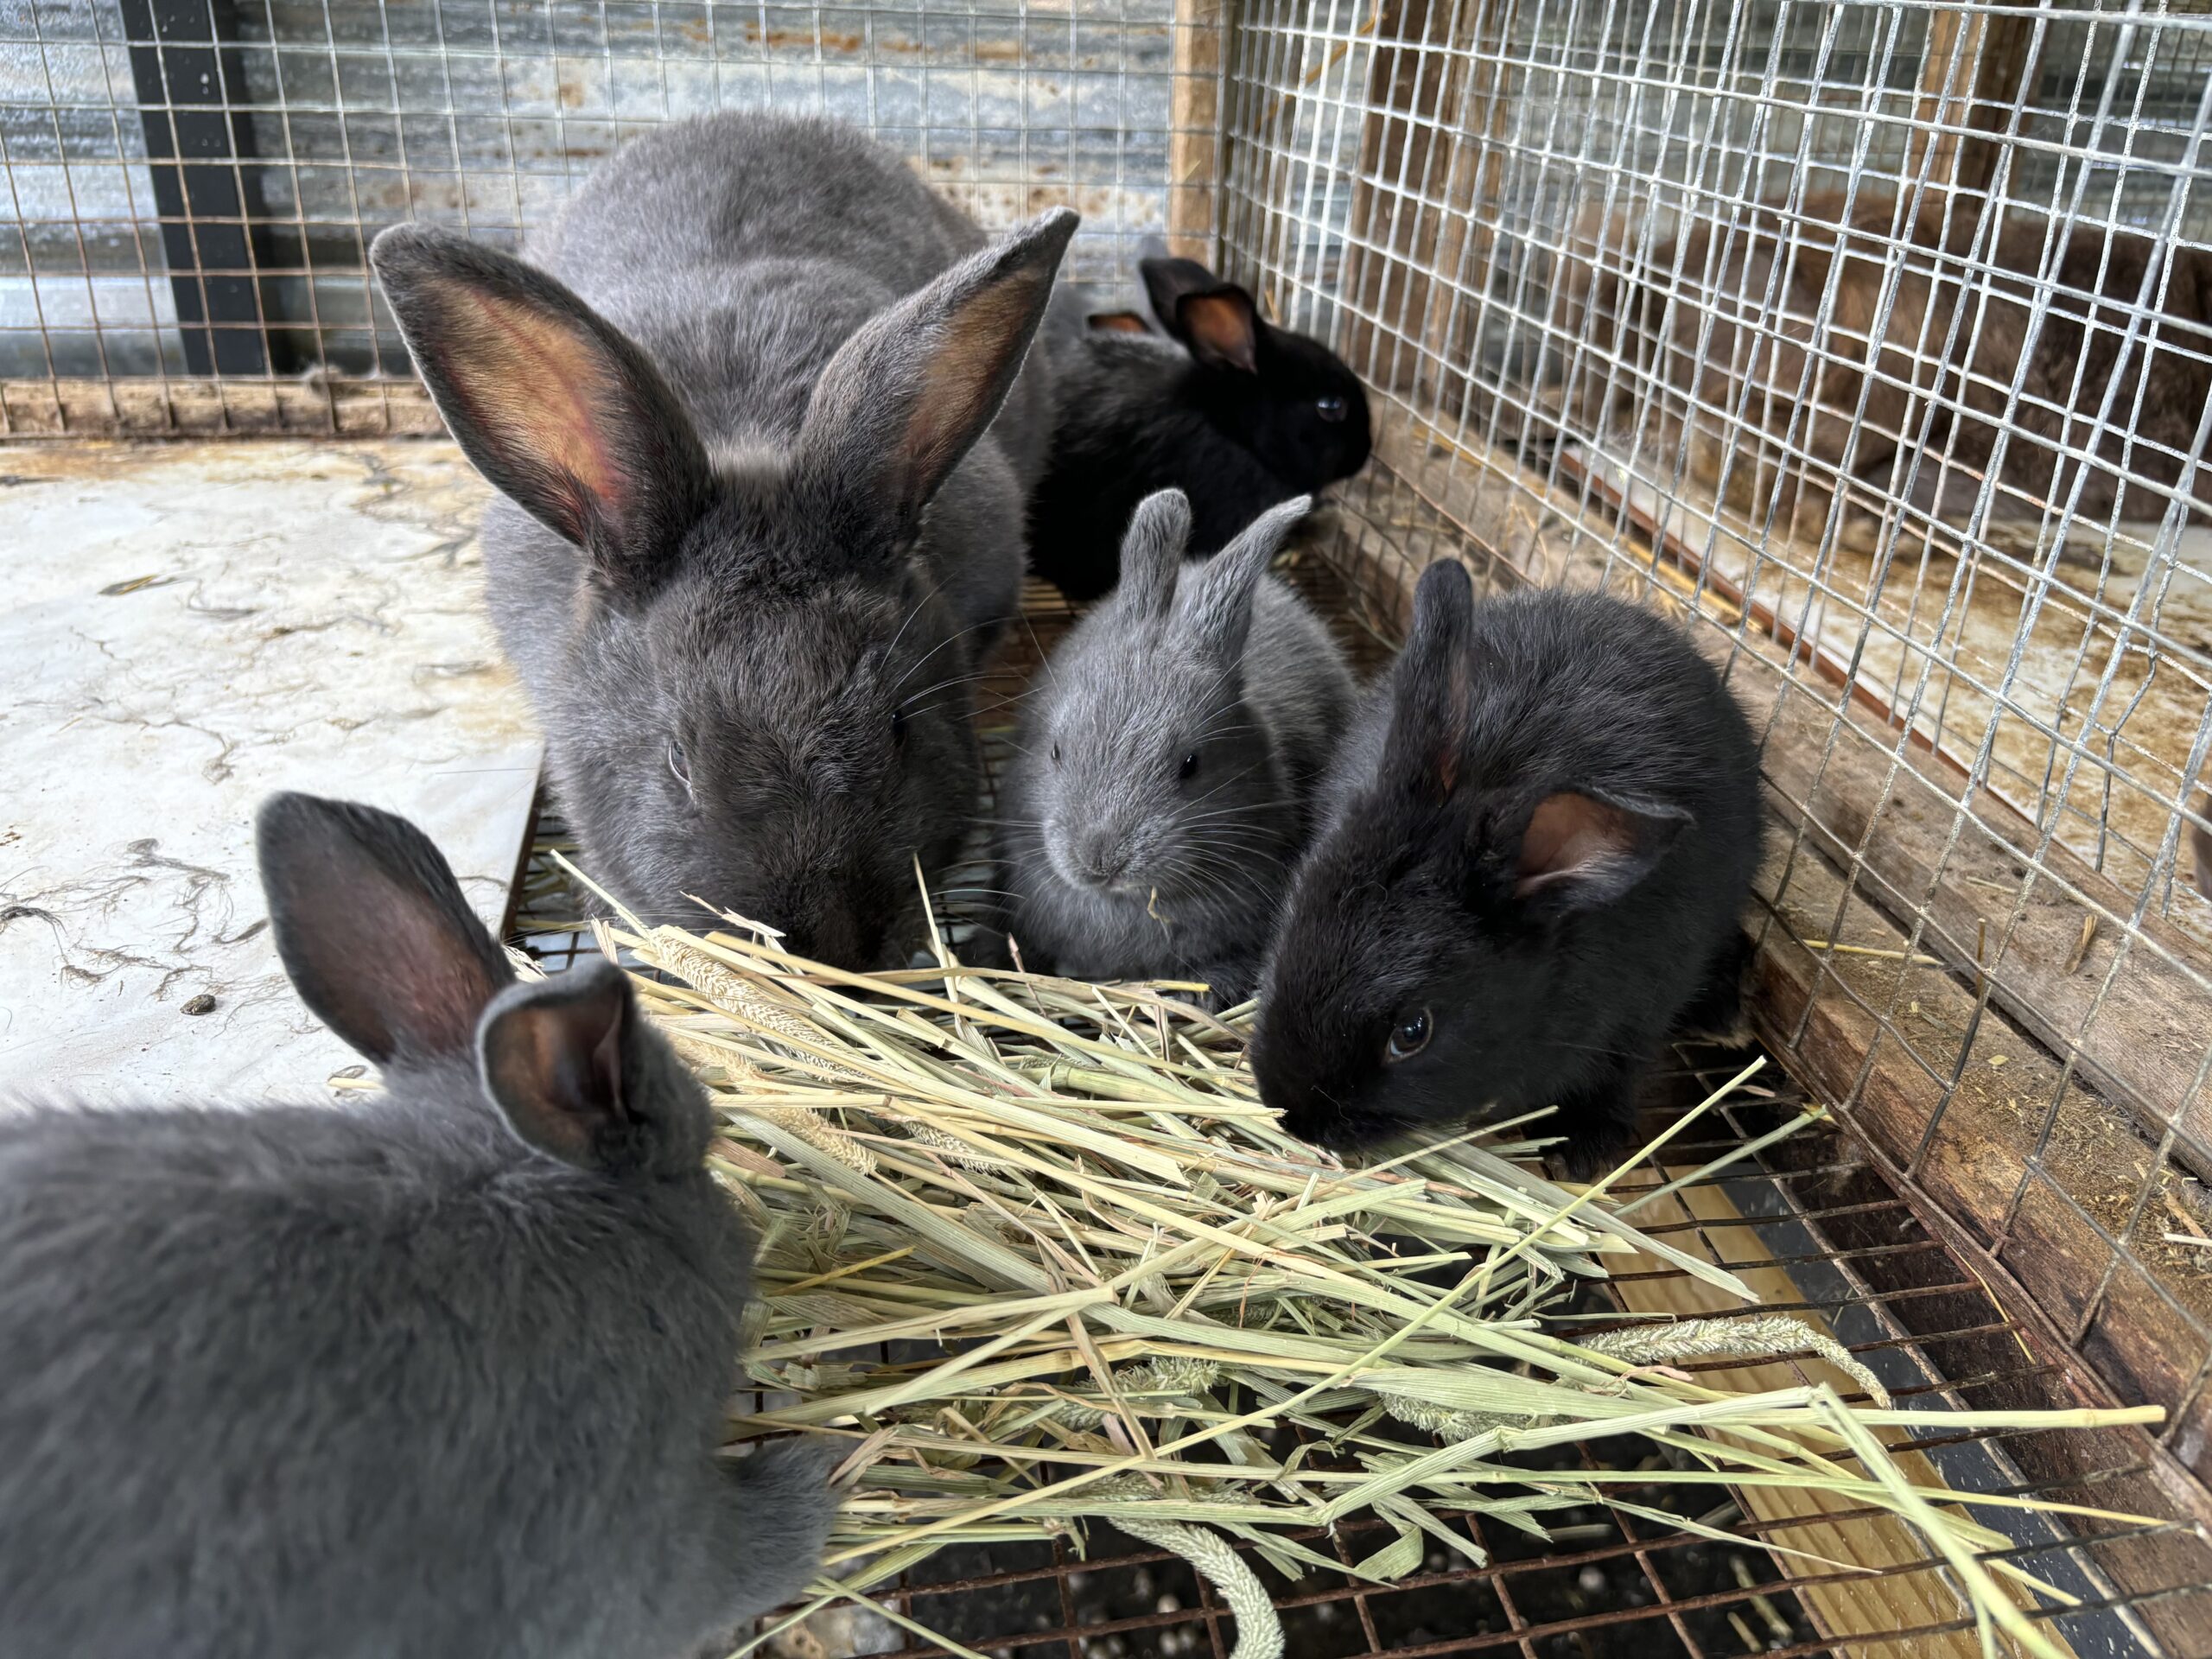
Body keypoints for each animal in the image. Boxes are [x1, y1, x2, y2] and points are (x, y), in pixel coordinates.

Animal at [1251, 561, 1762, 1177]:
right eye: (1289, 928)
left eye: (1412, 1033)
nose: (1293, 1117)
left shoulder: (1644, 1008)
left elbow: (1620, 1069)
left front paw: (1582, 1151)